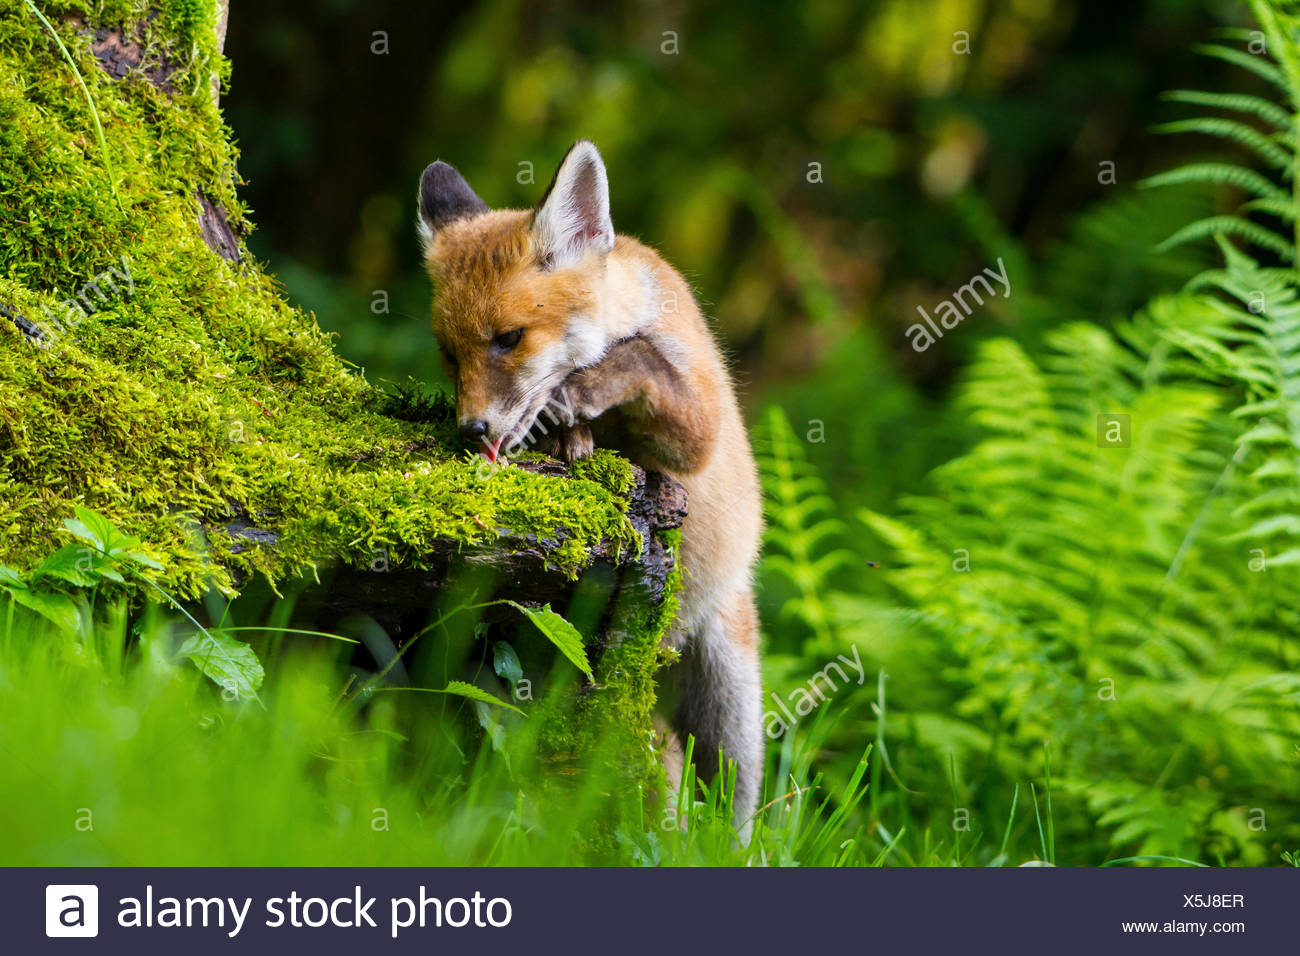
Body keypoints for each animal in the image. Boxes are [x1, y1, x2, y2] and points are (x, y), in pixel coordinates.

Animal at [416, 140, 764, 834]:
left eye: (509, 338)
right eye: (448, 354)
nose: (471, 430)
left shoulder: (701, 426)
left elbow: (637, 359)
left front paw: (583, 392)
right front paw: (568, 434)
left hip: (732, 712)